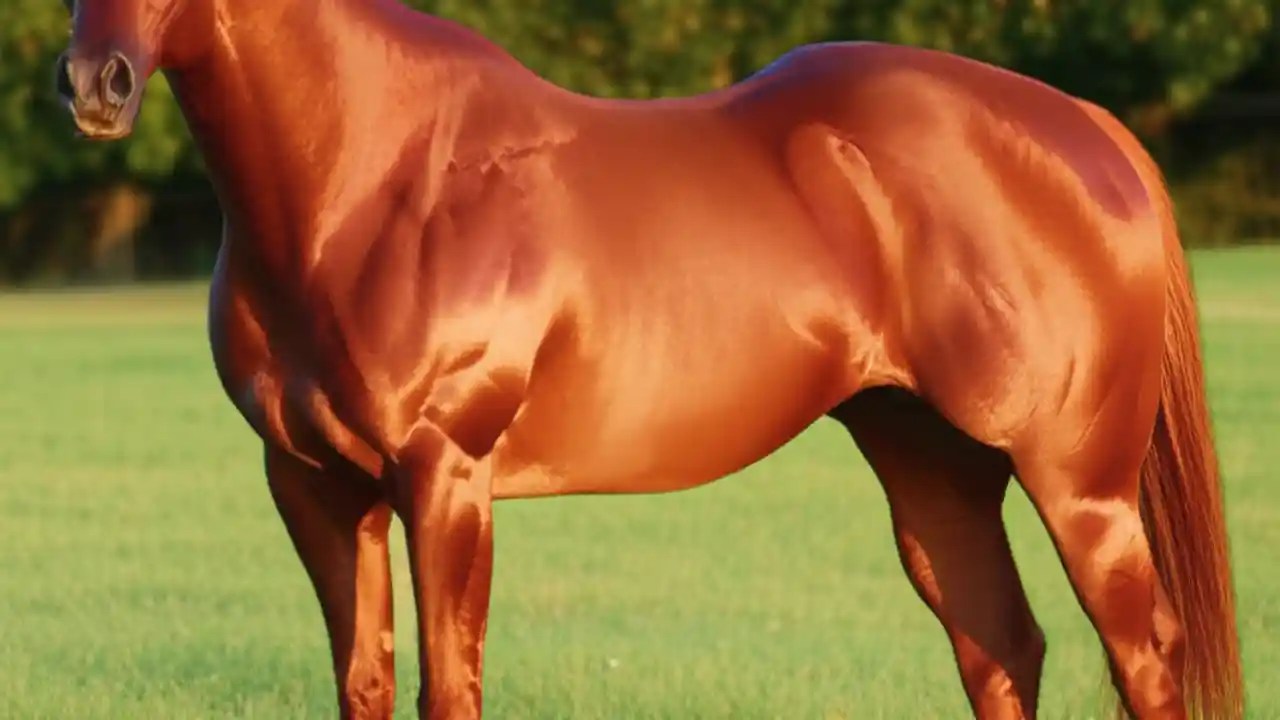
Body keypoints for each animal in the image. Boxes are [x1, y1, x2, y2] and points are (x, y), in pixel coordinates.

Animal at [56, 0, 1243, 718]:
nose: (92, 84)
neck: (372, 179)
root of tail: (1084, 127)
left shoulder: (445, 477)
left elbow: (449, 687)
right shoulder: (311, 484)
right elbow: (364, 683)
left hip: (1080, 489)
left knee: (1142, 653)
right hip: (932, 470)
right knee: (999, 648)